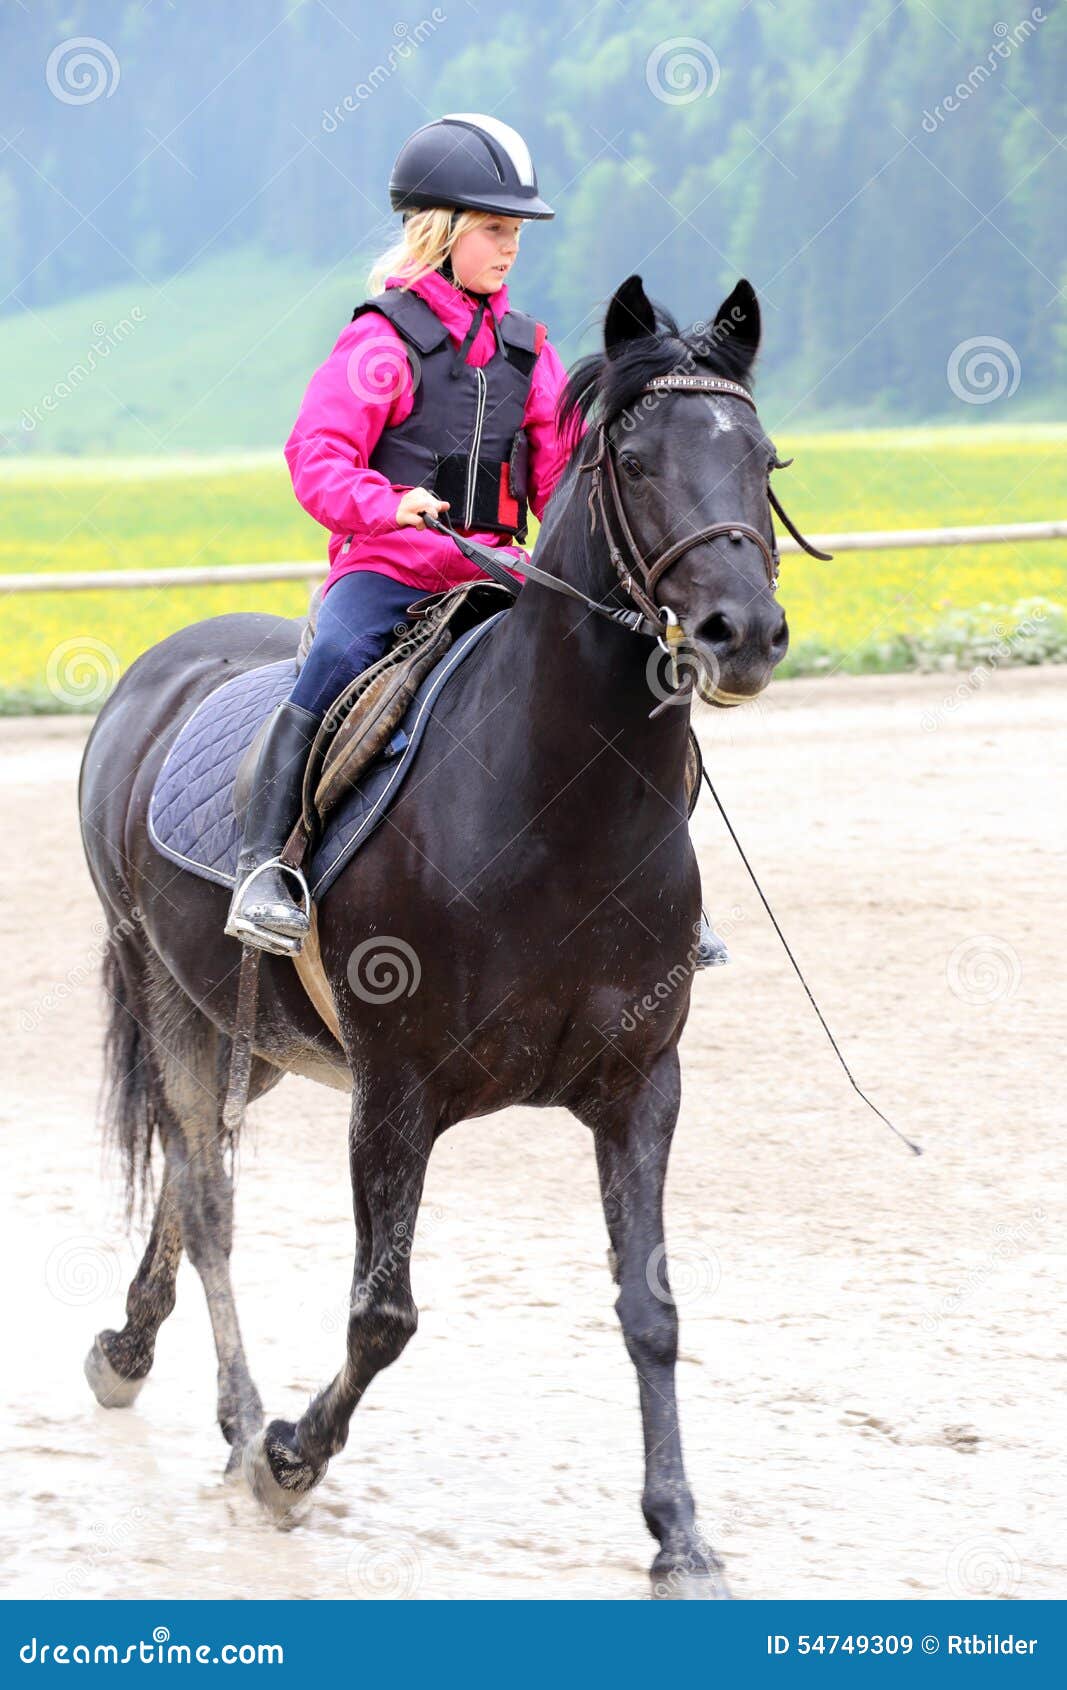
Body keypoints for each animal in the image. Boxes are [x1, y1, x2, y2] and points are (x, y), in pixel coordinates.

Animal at [78, 274, 795, 1599]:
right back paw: (241, 1423)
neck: (556, 810)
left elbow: (651, 1308)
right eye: (633, 458)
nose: (743, 631)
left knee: (191, 1196)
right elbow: (382, 1312)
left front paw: (678, 1531)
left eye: (759, 456)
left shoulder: (640, 1083)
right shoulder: (394, 1090)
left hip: (256, 1037)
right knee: (206, 1196)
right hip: (173, 1004)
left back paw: (128, 1353)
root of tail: (159, 669)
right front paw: (292, 1456)